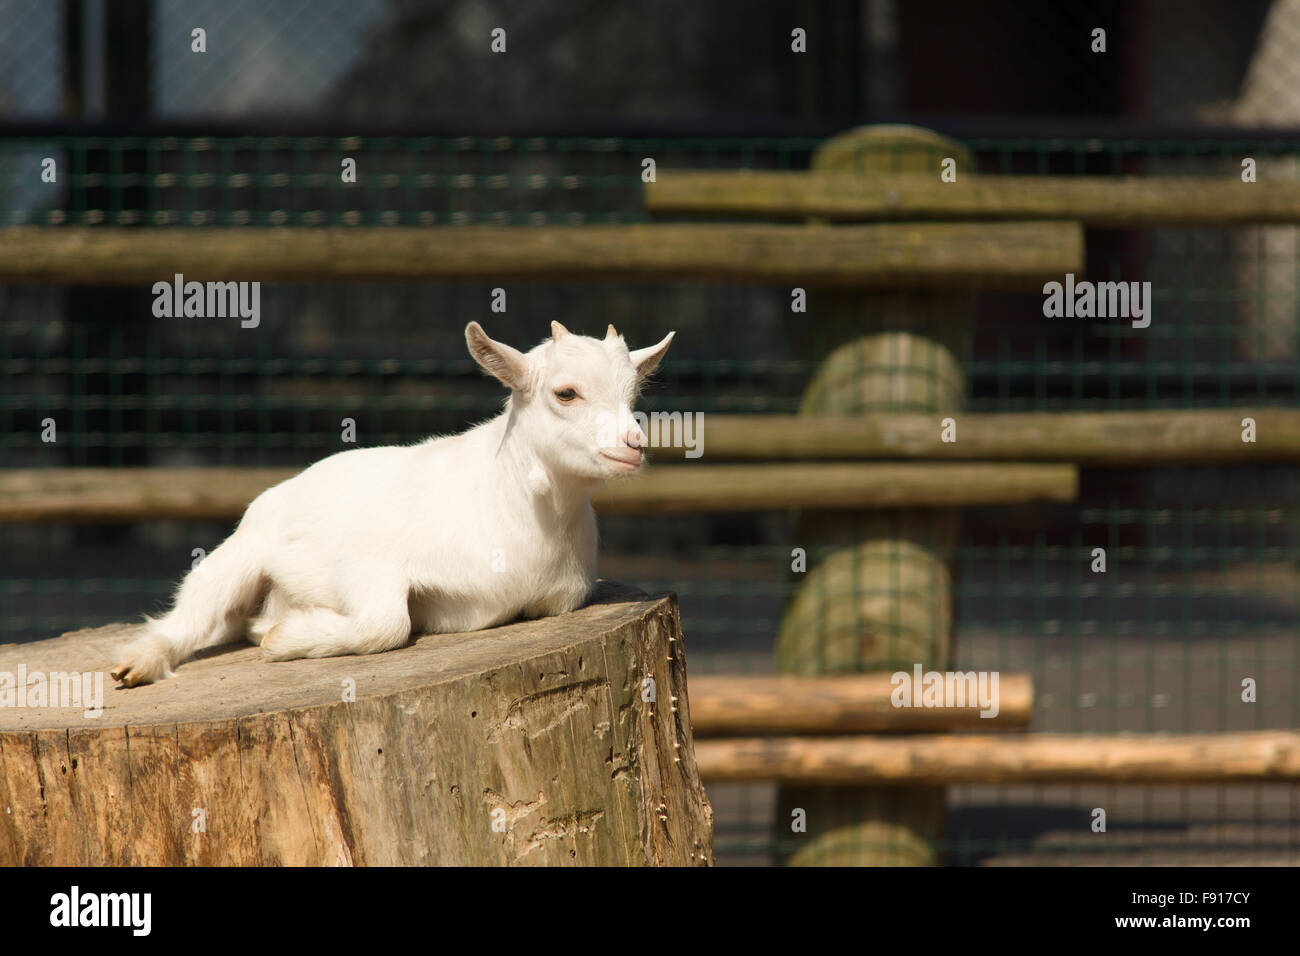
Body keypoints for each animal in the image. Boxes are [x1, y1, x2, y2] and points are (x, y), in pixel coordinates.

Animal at [109, 321, 675, 686]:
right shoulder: (368, 564)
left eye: (633, 396)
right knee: (193, 608)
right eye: (566, 393)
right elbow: (387, 625)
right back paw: (137, 664)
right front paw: (283, 638)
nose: (632, 444)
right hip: (243, 550)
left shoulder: (563, 595)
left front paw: (277, 631)